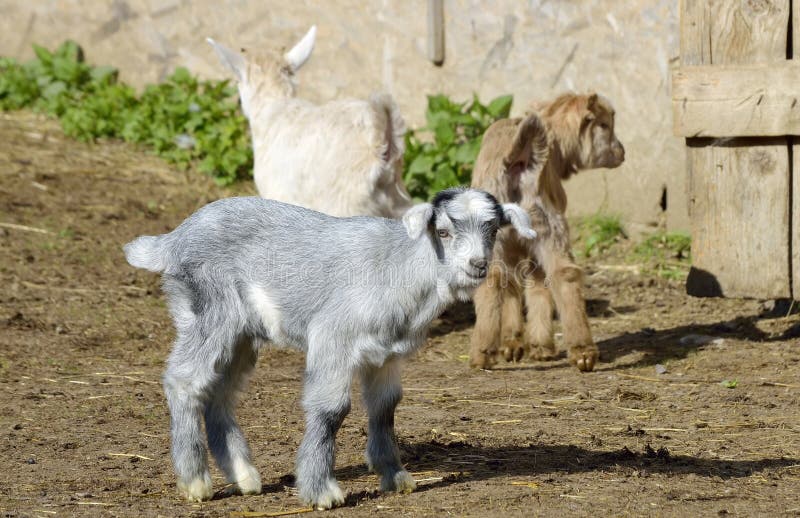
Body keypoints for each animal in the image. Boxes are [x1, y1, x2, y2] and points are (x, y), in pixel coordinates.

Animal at [123, 188, 536, 508]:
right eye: (445, 232)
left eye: (493, 229)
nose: (477, 265)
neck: (400, 268)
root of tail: (171, 240)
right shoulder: (332, 337)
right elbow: (332, 409)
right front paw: (321, 491)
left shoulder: (386, 355)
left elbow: (385, 408)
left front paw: (395, 477)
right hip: (209, 313)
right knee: (185, 381)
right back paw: (196, 482)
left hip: (241, 334)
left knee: (219, 393)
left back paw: (245, 477)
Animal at [469, 93, 625, 372]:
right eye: (605, 125)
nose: (622, 152)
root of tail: (518, 161)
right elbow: (533, 287)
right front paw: (536, 346)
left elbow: (514, 286)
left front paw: (515, 344)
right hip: (547, 228)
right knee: (561, 274)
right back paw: (581, 351)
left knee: (498, 279)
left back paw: (483, 353)